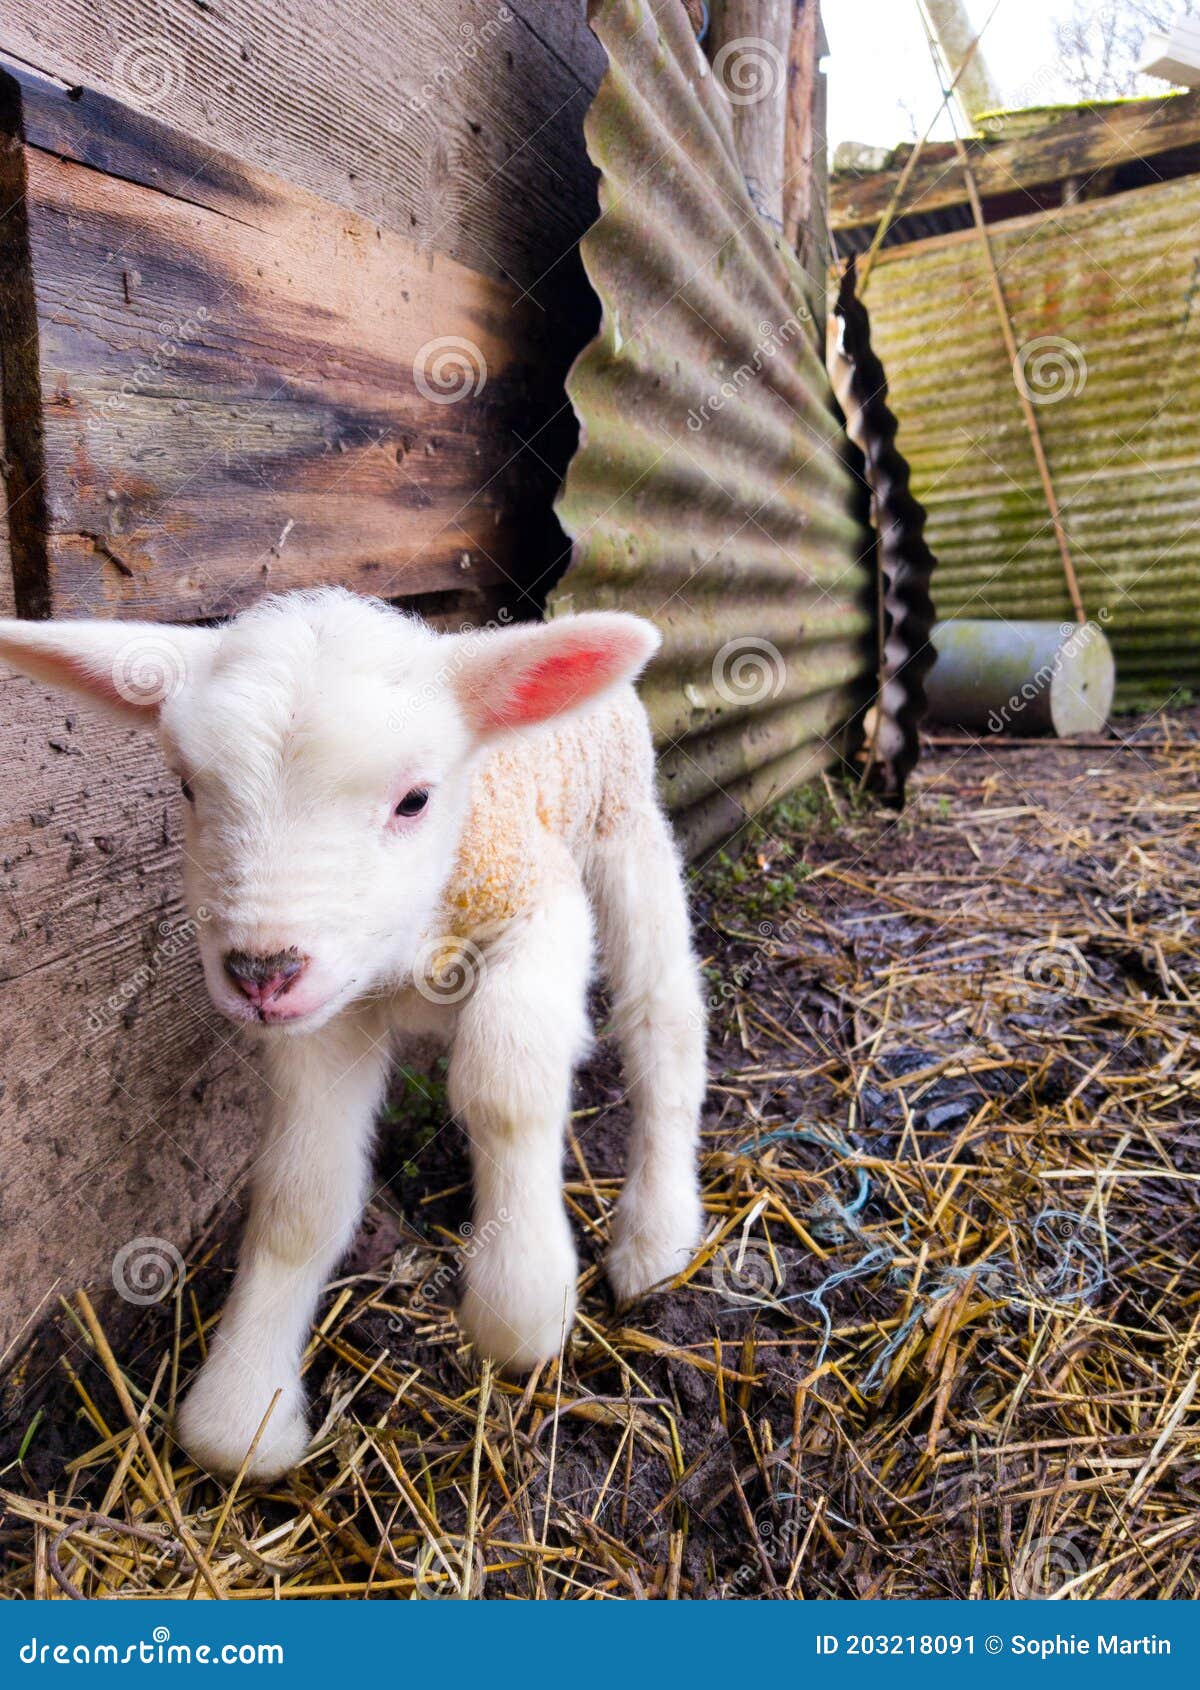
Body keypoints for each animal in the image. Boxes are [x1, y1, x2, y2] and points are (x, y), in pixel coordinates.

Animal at [0, 590, 707, 1480]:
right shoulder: (324, 1017)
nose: (261, 971)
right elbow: (304, 1192)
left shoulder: (539, 908)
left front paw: (519, 1303)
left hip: (623, 828)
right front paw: (242, 1413)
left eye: (415, 801)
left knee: (662, 1015)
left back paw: (656, 1234)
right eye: (189, 789)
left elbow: (505, 1090)